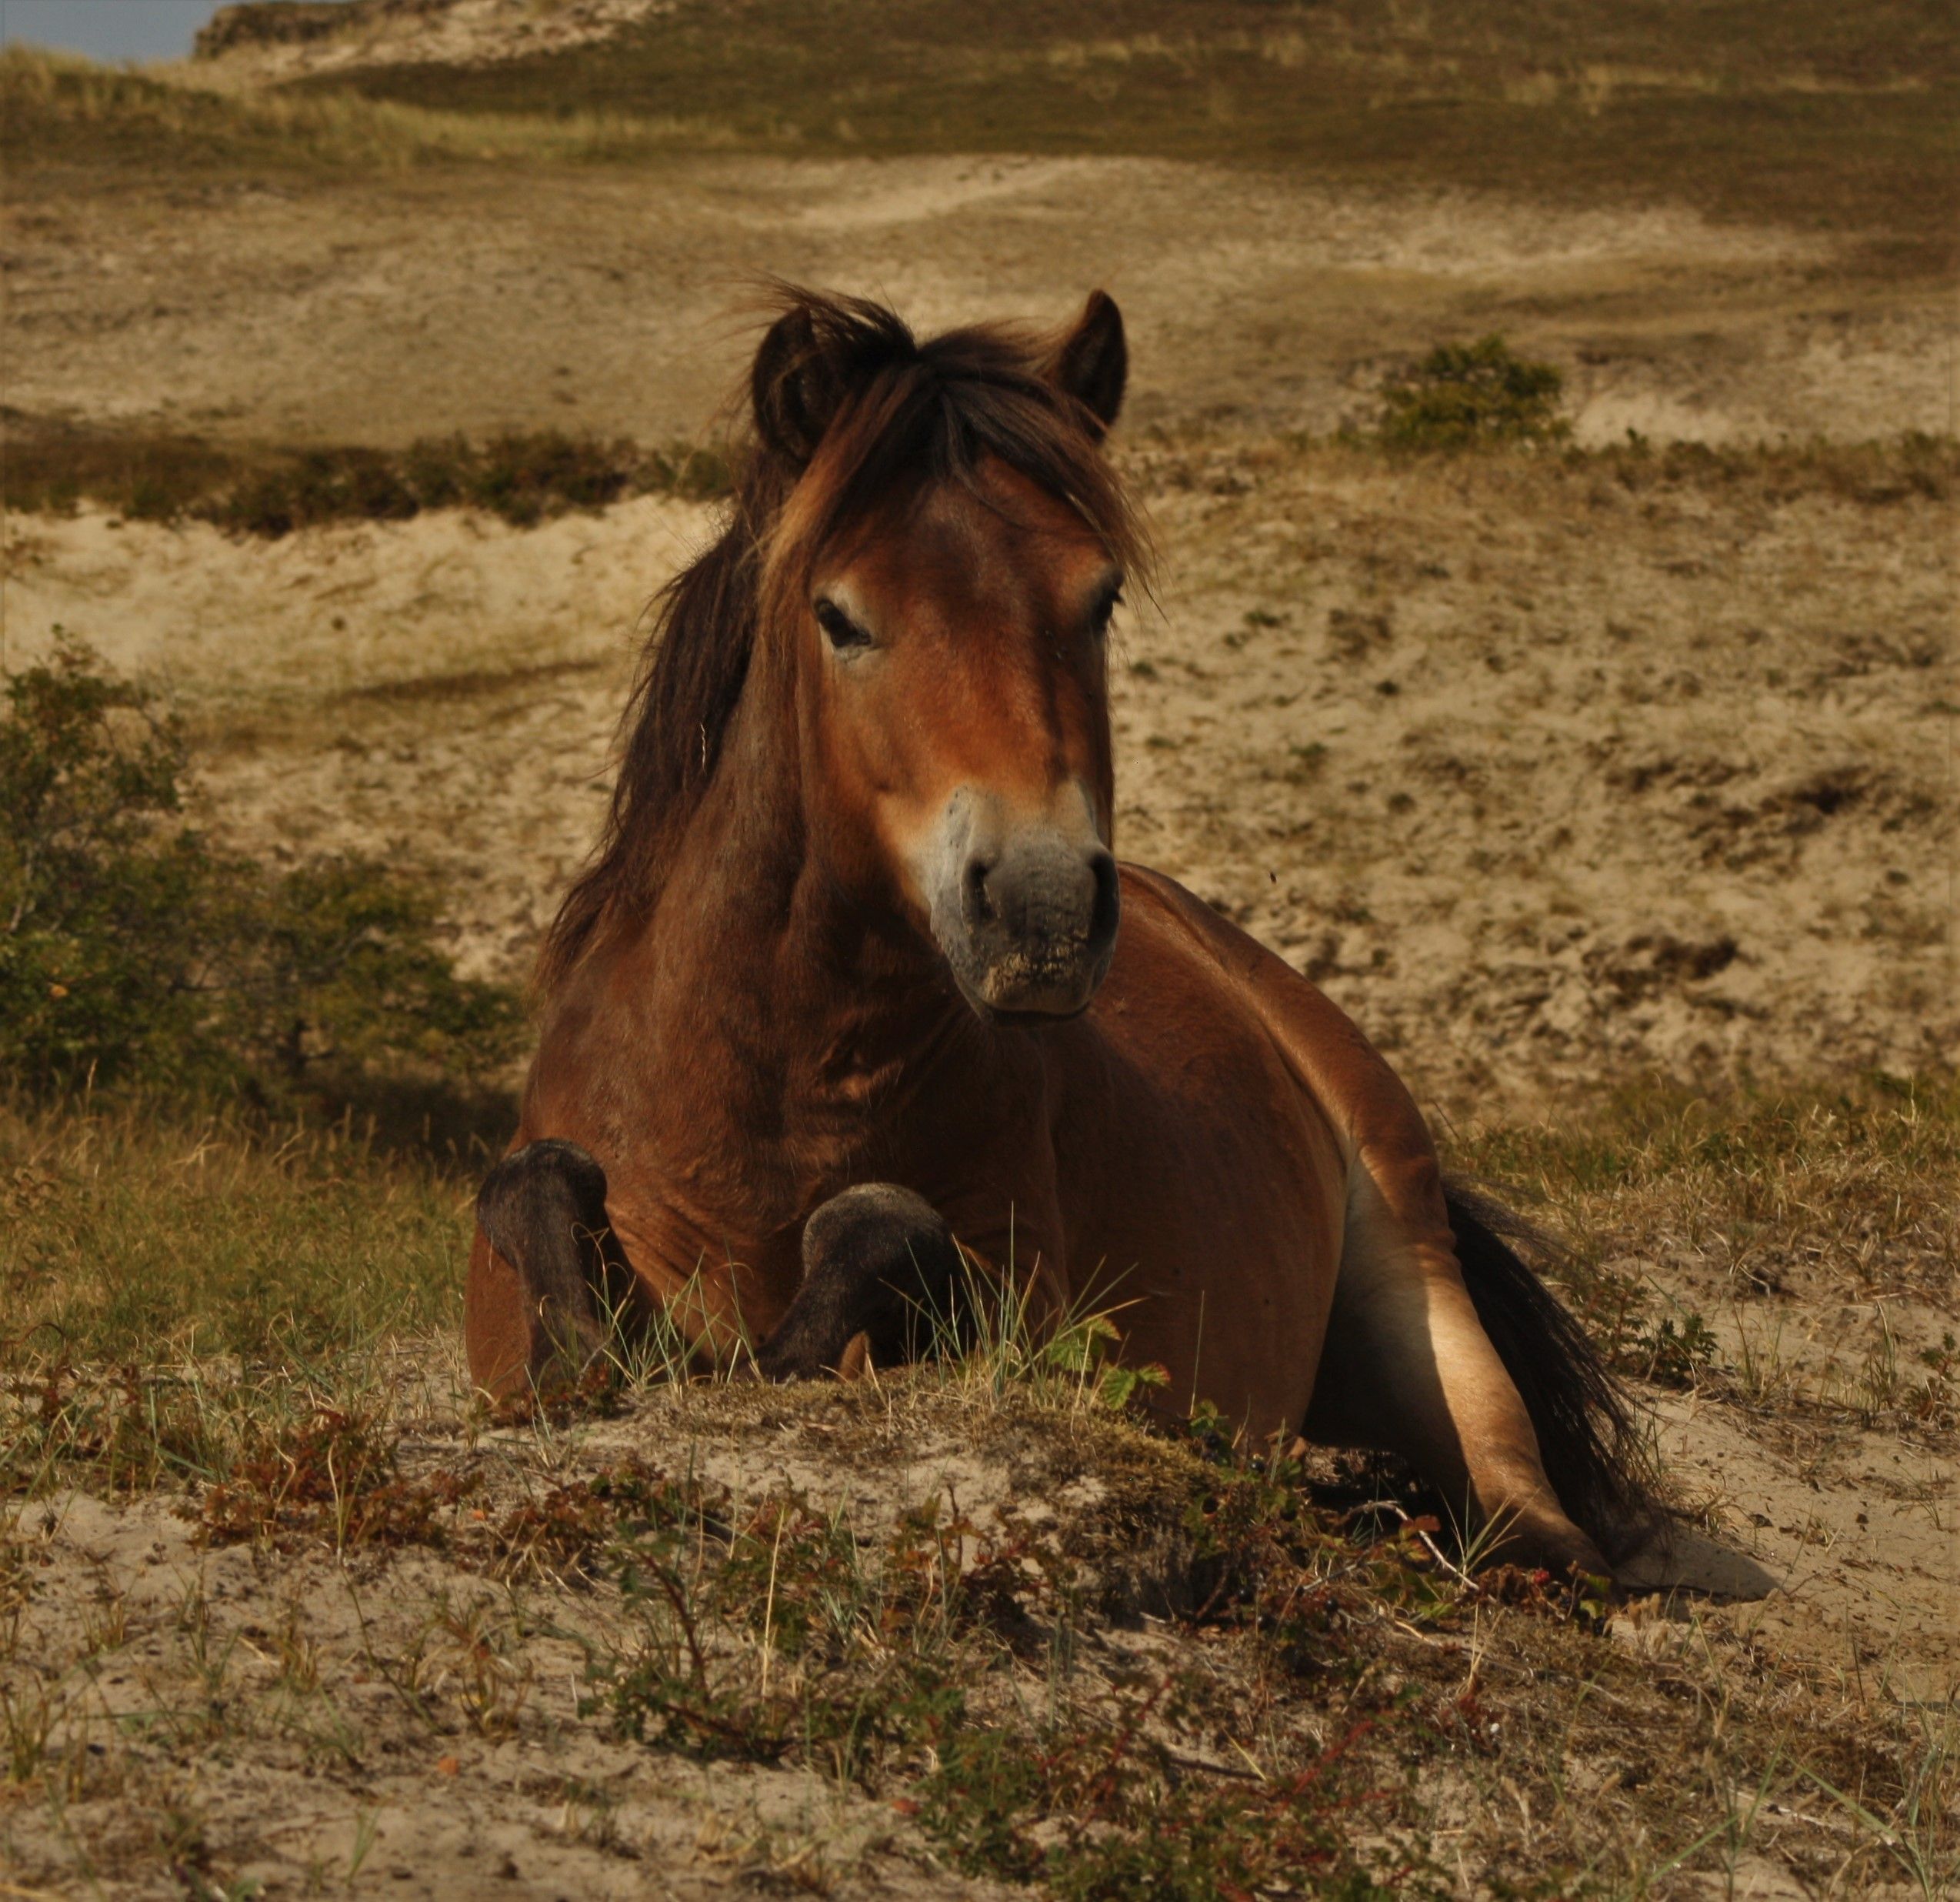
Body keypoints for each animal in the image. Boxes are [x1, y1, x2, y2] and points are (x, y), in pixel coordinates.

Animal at [466, 288, 1654, 1578]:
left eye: (1100, 599)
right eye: (838, 616)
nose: (1042, 912)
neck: (776, 1103)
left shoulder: (1025, 1303)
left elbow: (882, 1226)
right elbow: (536, 1189)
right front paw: (600, 1353)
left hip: (1421, 1292)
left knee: (1533, 1530)